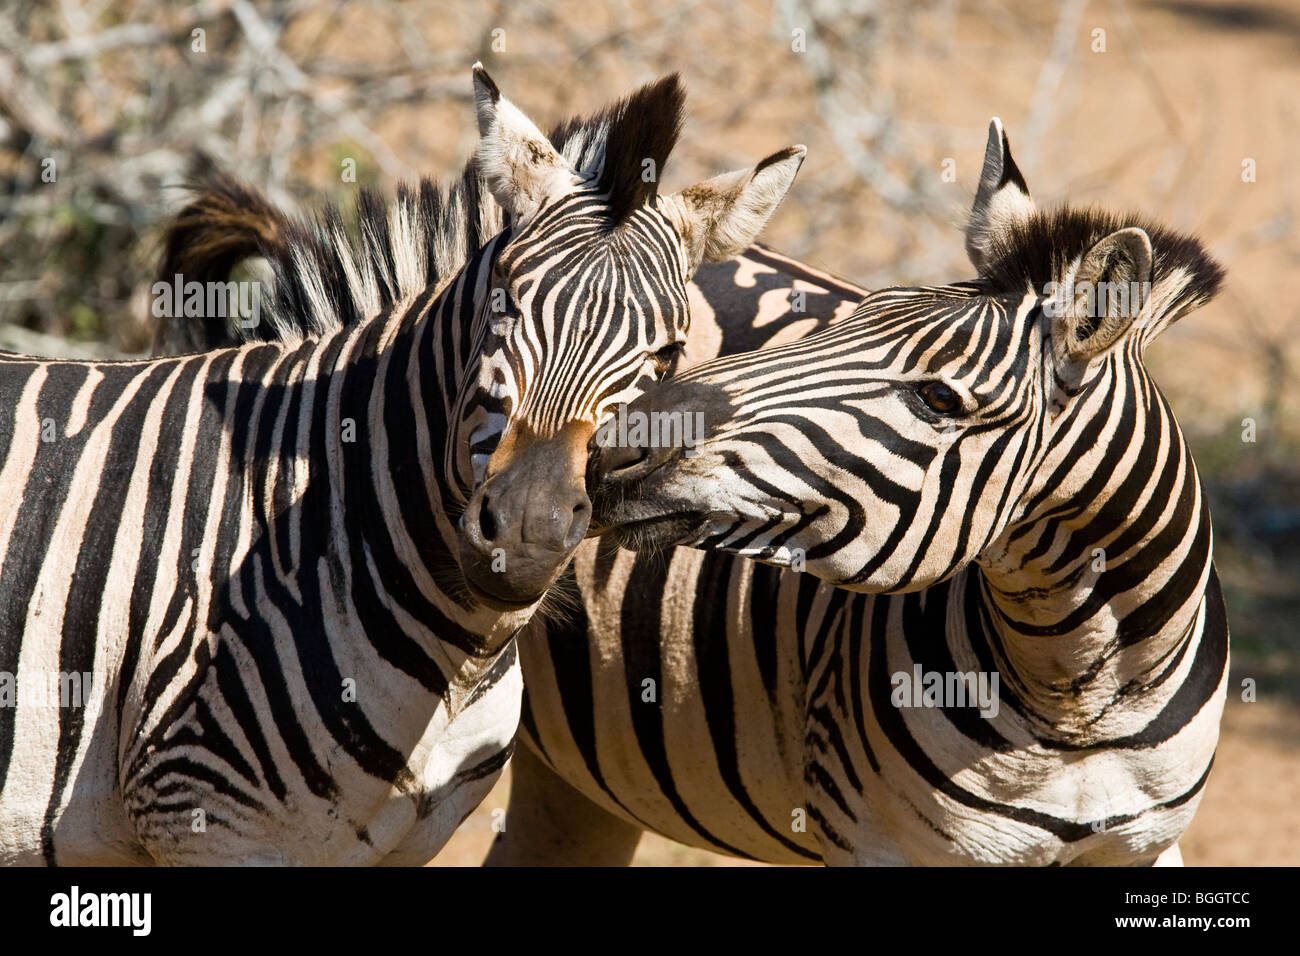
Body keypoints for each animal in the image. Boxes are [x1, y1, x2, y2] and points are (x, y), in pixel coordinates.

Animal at [499, 120, 1230, 866]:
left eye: (939, 397)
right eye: (852, 317)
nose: (609, 449)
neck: (1077, 702)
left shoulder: (1144, 848)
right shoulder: (877, 842)